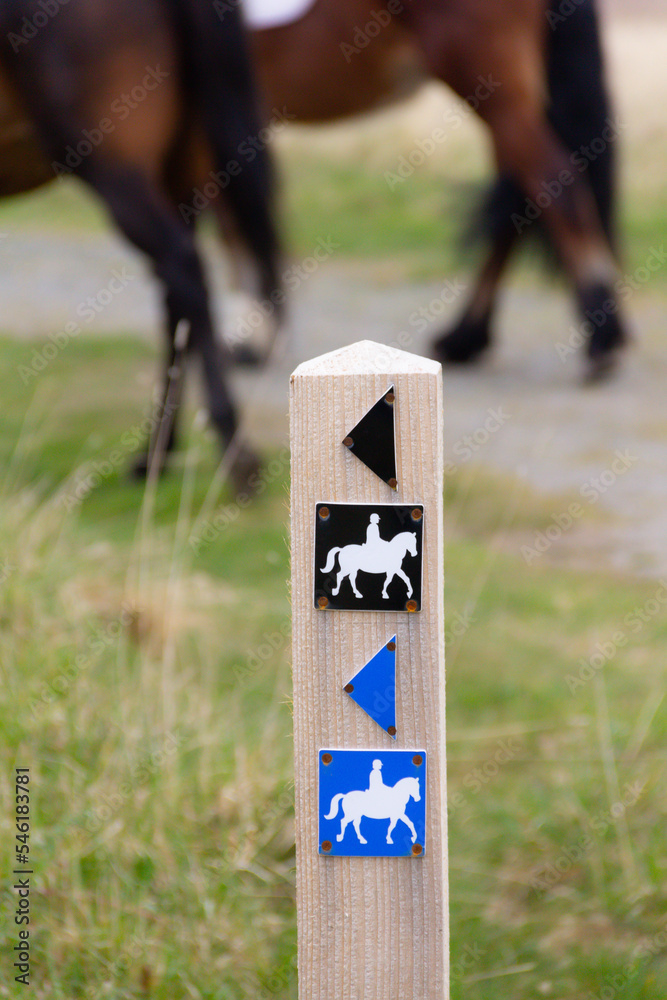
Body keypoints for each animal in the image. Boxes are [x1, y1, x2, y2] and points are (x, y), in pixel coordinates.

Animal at [0, 0, 280, 485]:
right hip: (182, 170)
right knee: (178, 300)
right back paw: (157, 455)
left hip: (118, 170)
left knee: (183, 272)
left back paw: (233, 453)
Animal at [245, 0, 625, 381]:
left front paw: (258, 341)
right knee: (518, 202)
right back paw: (467, 337)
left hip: (491, 85)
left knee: (553, 184)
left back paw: (601, 336)